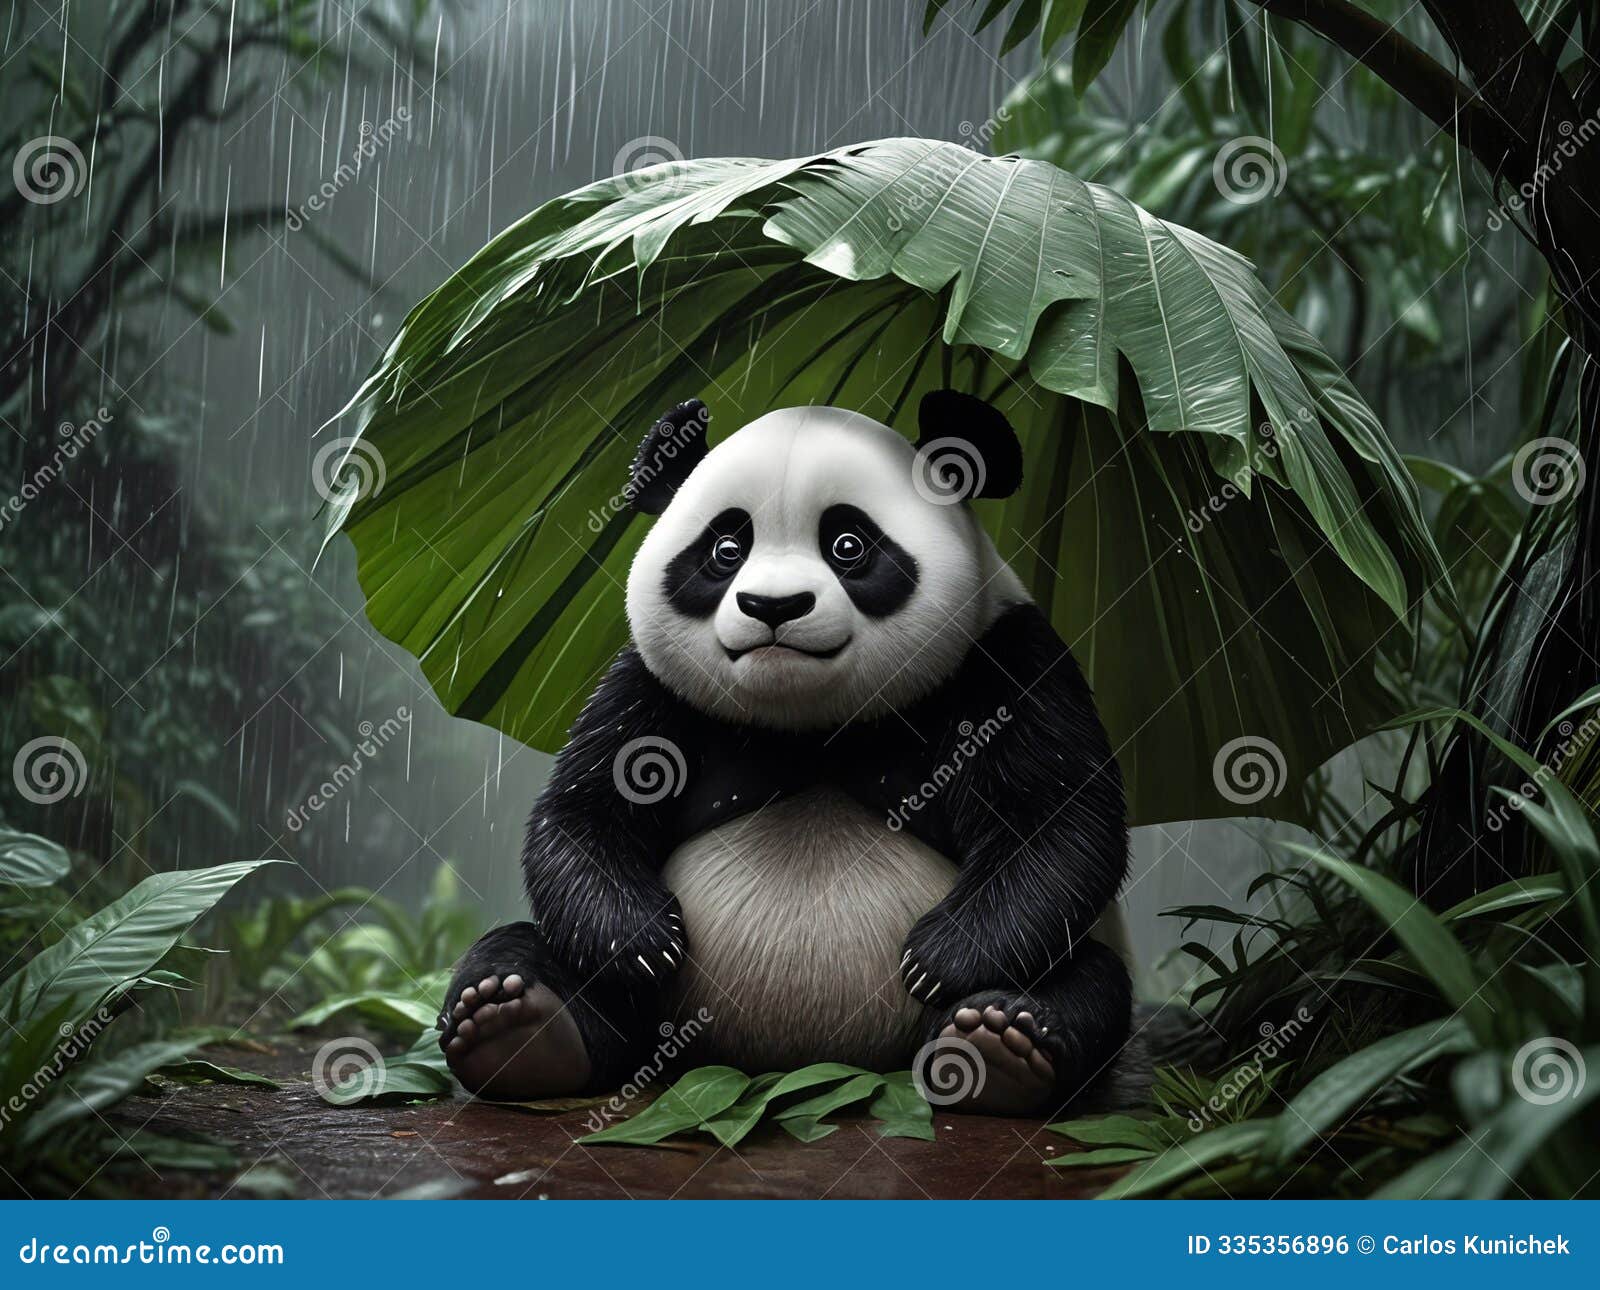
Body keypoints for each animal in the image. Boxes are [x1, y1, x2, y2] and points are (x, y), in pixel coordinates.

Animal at [436, 391, 1131, 1115]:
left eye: (848, 545)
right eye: (726, 548)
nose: (773, 605)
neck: (809, 723)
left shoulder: (1006, 658)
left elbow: (1055, 821)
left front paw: (938, 958)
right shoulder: (648, 688)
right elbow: (582, 812)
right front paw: (642, 942)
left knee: (1088, 983)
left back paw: (1000, 1047)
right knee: (518, 950)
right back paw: (521, 1030)